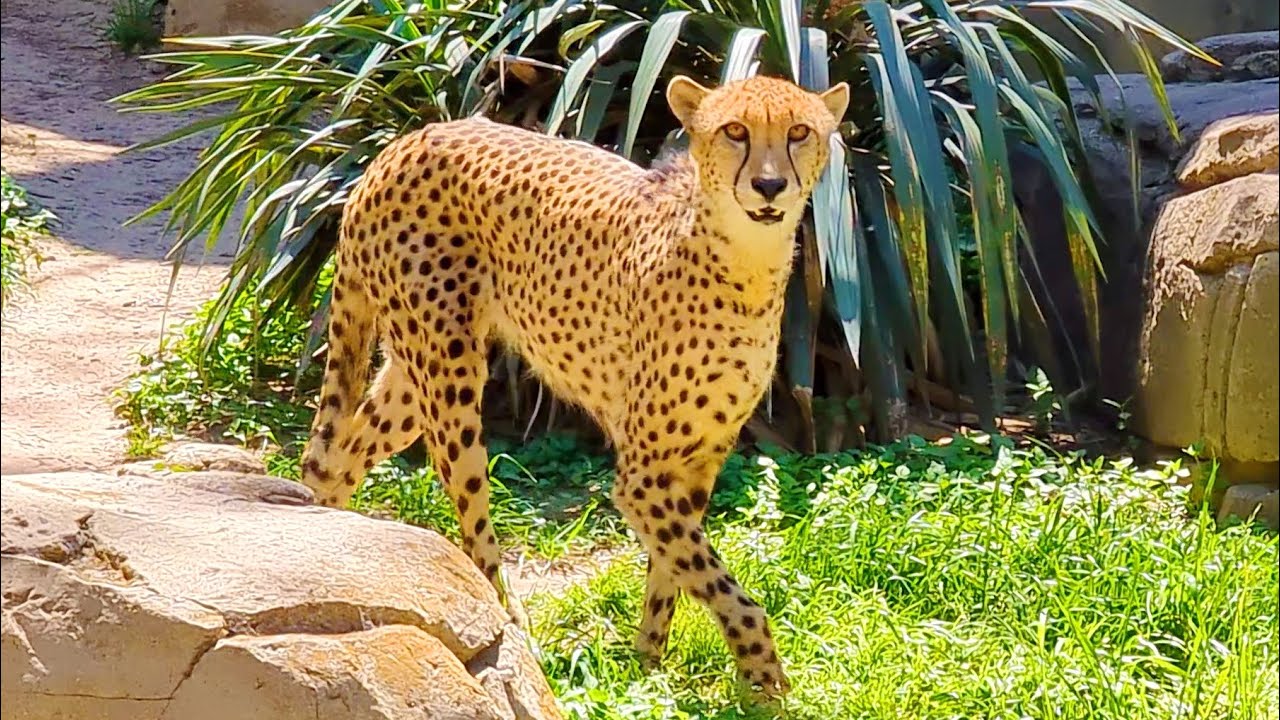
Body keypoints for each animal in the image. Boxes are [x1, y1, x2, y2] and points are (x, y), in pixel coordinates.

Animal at [300, 74, 849, 698]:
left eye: (799, 132)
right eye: (735, 130)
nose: (769, 185)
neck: (746, 263)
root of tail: (404, 142)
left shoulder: (698, 457)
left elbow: (674, 564)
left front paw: (648, 666)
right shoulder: (641, 476)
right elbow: (719, 582)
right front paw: (766, 679)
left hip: (412, 379)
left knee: (338, 455)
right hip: (449, 375)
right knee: (470, 513)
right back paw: (512, 627)